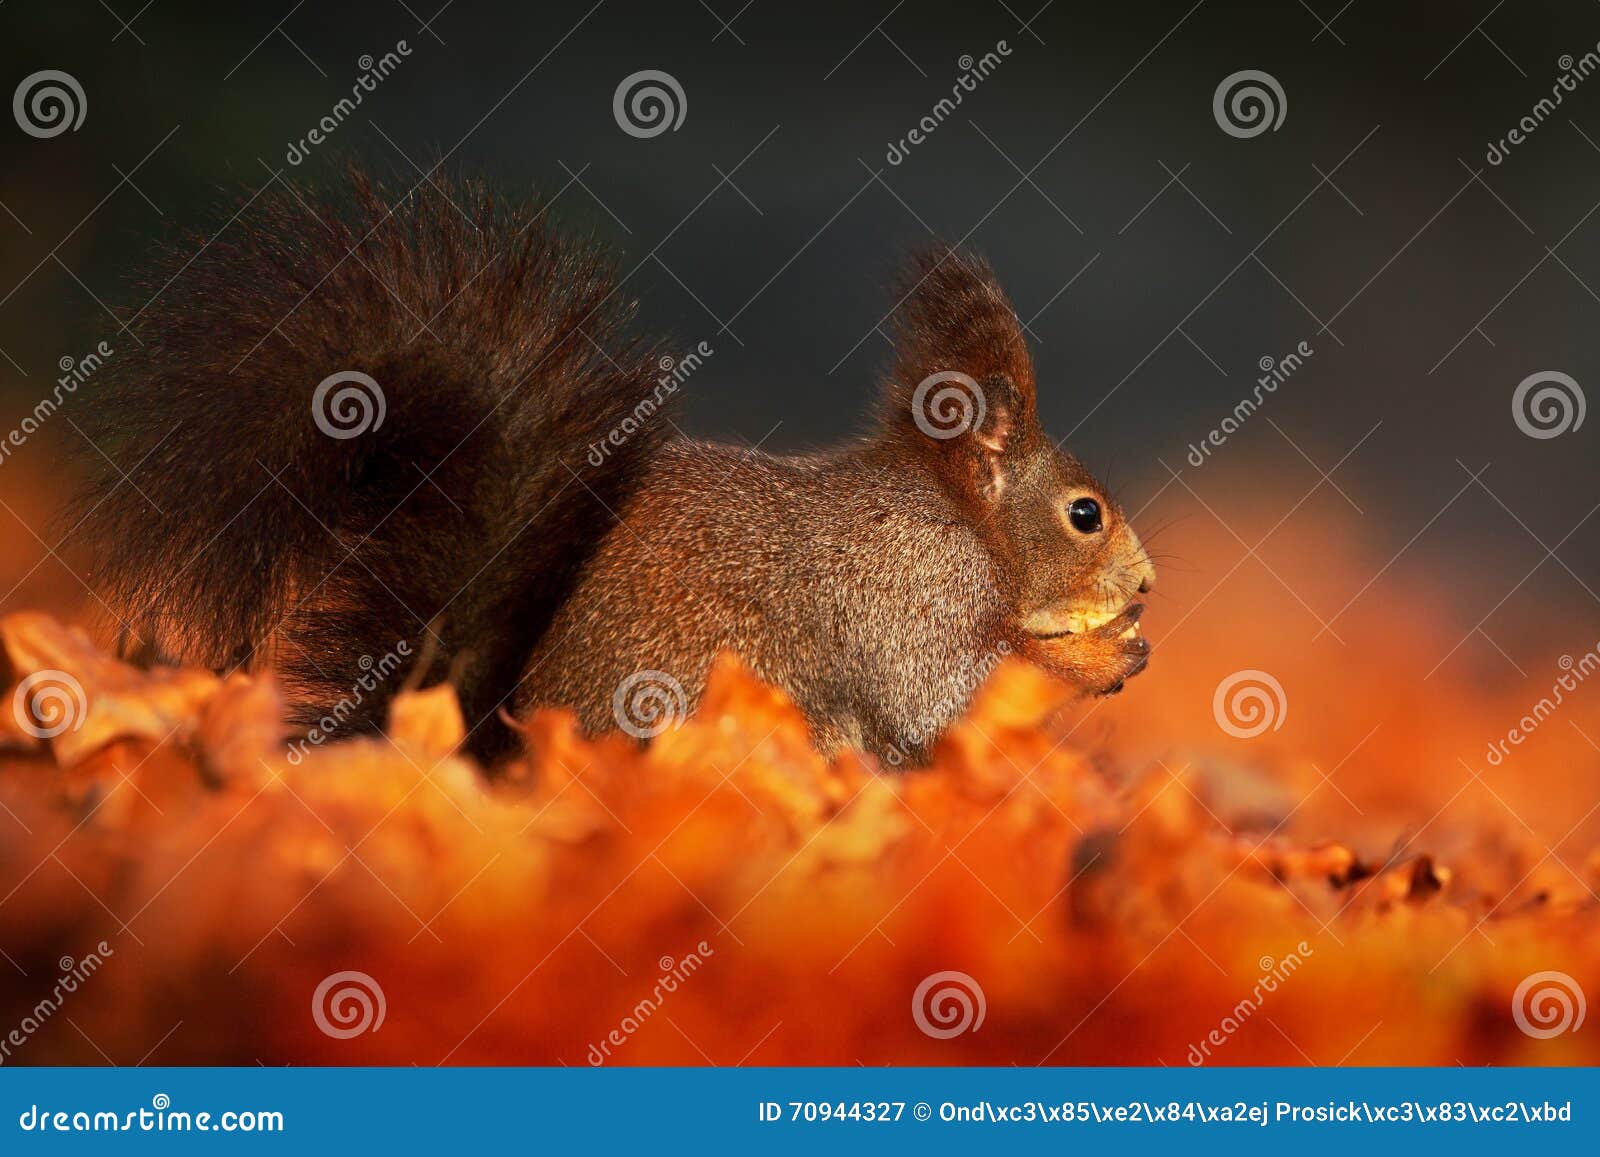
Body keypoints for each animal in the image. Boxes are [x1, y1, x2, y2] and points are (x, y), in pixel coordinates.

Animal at [76, 170, 1155, 766]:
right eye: (1085, 514)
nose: (1147, 583)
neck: (959, 520)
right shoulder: (911, 597)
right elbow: (931, 690)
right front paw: (1097, 655)